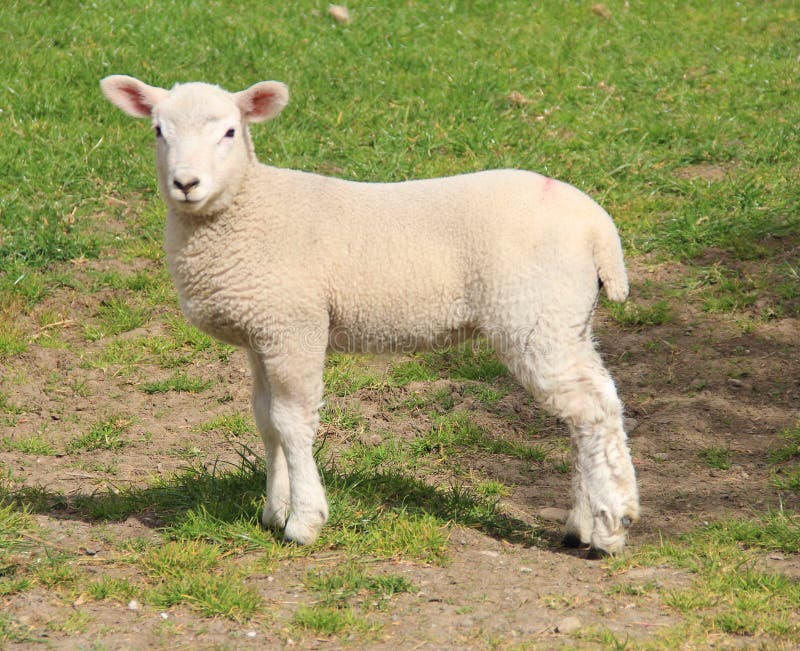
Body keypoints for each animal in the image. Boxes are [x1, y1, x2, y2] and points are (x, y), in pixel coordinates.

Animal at [100, 75, 639, 556]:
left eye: (230, 132)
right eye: (158, 130)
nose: (185, 183)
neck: (248, 207)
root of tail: (598, 228)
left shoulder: (294, 326)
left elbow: (292, 421)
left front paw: (304, 521)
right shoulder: (262, 331)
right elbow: (265, 419)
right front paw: (274, 511)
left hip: (534, 316)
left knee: (591, 412)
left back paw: (610, 527)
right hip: (565, 318)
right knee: (594, 406)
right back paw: (584, 523)